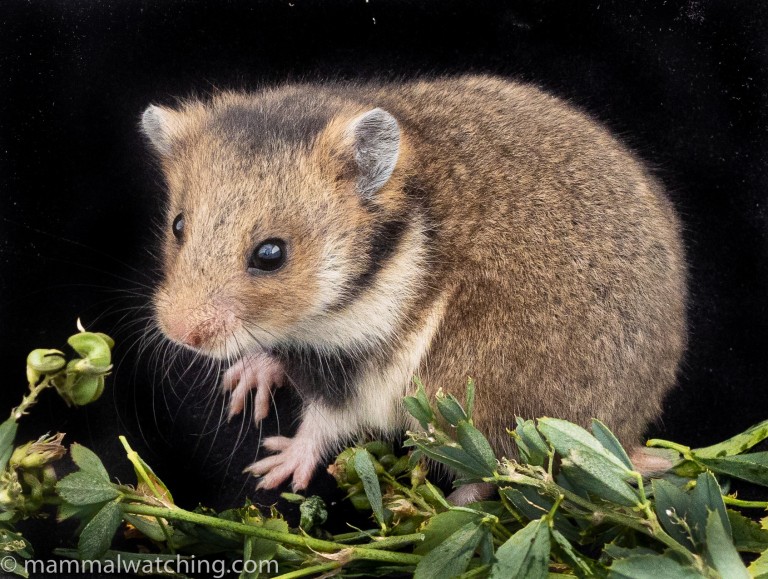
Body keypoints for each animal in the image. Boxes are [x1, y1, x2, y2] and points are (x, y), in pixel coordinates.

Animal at [141, 75, 687, 500]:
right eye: (178, 225)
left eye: (271, 254)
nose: (179, 333)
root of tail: (624, 441)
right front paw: (247, 380)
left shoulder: (366, 375)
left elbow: (322, 423)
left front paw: (274, 467)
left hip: (456, 394)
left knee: (496, 472)